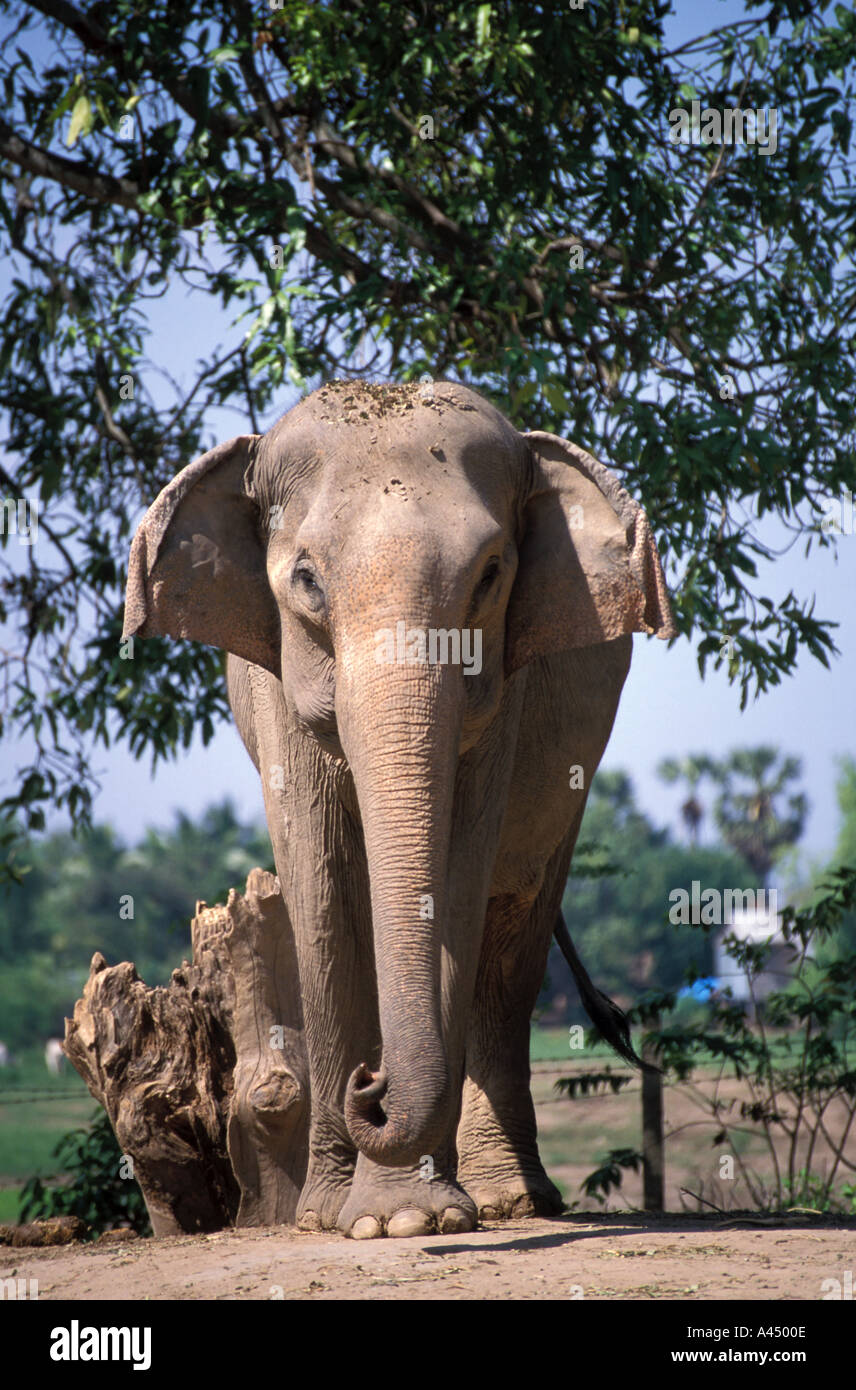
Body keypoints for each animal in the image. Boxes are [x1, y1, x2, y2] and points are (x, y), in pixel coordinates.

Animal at [123, 379, 675, 1239]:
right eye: (307, 580)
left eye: (490, 574)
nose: (370, 1085)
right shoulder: (277, 687)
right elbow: (321, 890)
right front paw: (343, 1219)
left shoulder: (506, 690)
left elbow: (456, 883)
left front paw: (414, 1217)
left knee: (510, 941)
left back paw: (513, 1200)